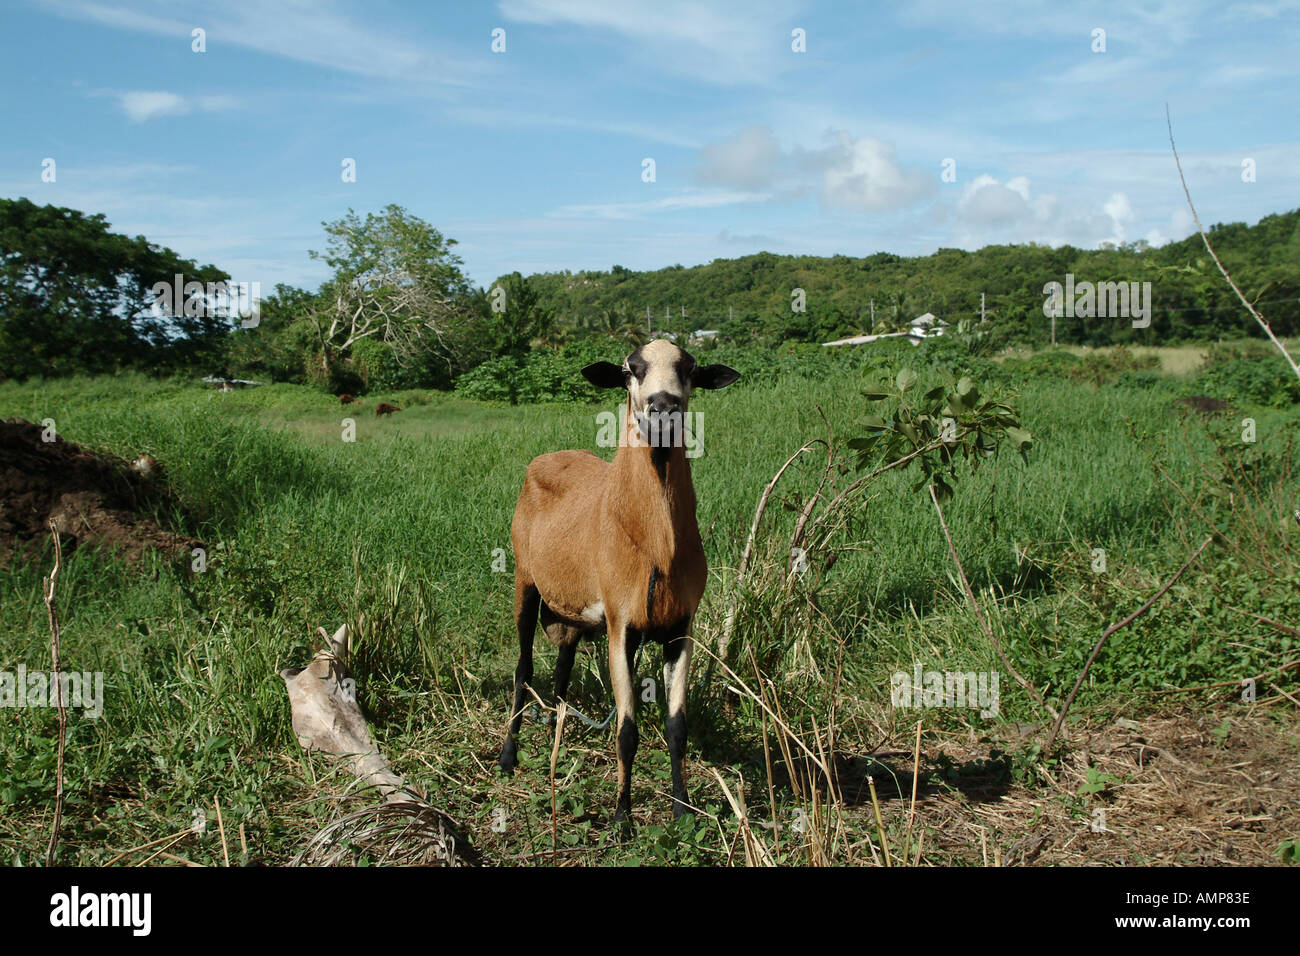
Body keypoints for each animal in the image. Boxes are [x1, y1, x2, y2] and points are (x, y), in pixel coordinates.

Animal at [498, 339, 739, 830]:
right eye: (631, 370)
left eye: (691, 369)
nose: (663, 407)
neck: (654, 545)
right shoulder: (620, 625)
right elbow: (627, 729)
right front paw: (622, 818)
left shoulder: (680, 627)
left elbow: (676, 727)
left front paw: (682, 809)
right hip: (525, 581)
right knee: (523, 670)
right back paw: (509, 756)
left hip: (570, 613)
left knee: (562, 671)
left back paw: (559, 735)